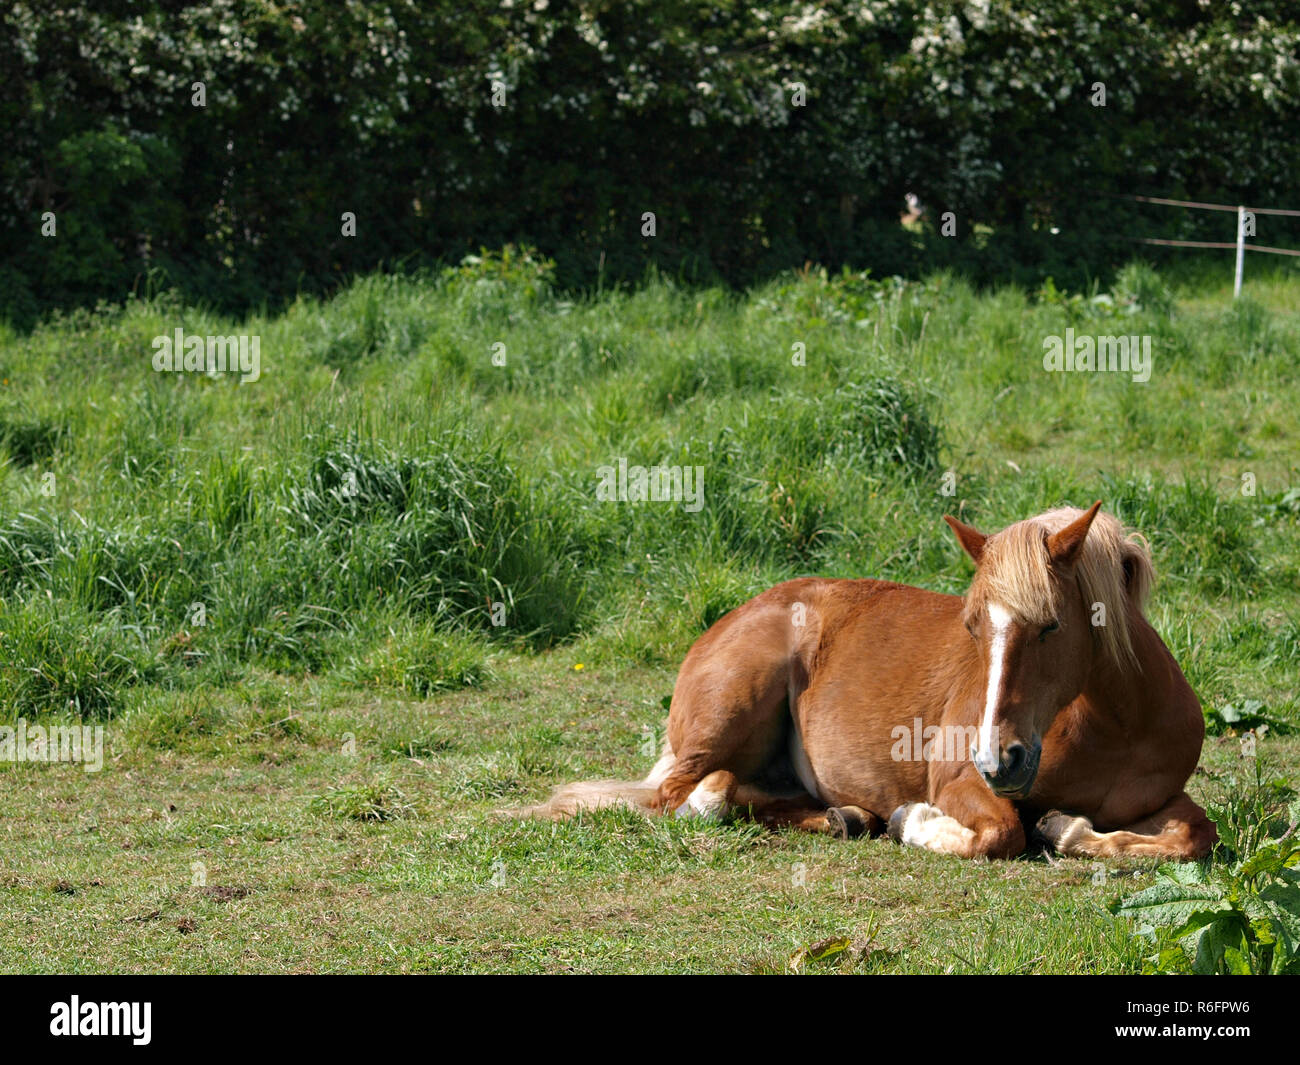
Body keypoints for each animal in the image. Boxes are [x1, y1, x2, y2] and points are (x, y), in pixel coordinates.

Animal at [518, 502, 1217, 861]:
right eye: (971, 625)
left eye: (1050, 626)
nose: (1000, 760)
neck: (1112, 727)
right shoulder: (959, 781)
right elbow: (999, 833)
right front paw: (916, 822)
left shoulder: (1161, 801)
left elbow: (1191, 836)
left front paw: (1065, 828)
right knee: (683, 796)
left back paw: (845, 817)